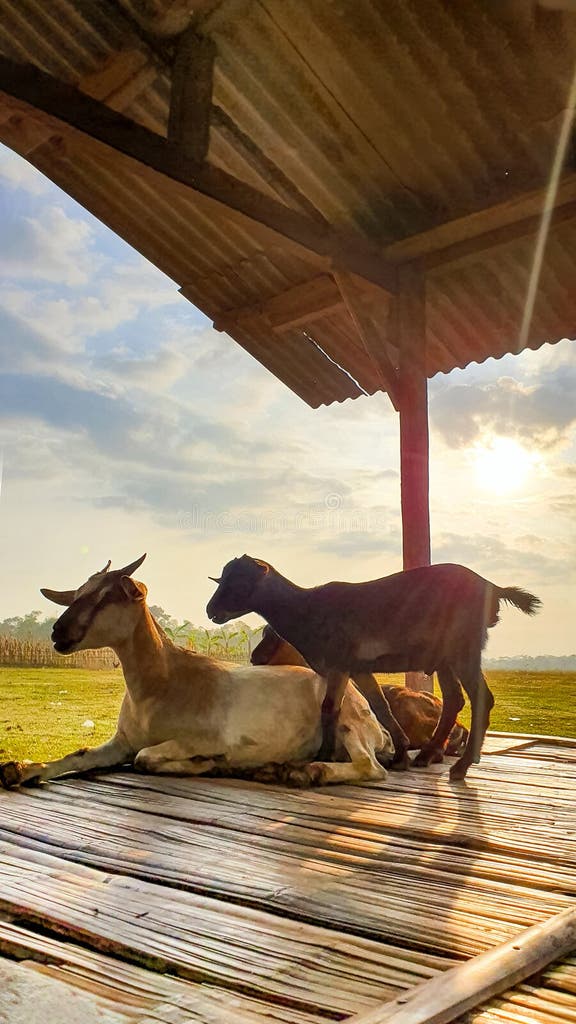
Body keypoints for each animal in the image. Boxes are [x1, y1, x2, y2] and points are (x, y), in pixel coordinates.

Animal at [0, 555, 394, 791]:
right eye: (79, 593)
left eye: (106, 597)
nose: (58, 633)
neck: (162, 683)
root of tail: (381, 731)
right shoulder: (122, 740)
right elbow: (78, 755)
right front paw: (21, 768)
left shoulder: (205, 738)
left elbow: (146, 758)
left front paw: (209, 765)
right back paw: (275, 768)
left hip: (348, 715)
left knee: (370, 767)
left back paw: (307, 771)